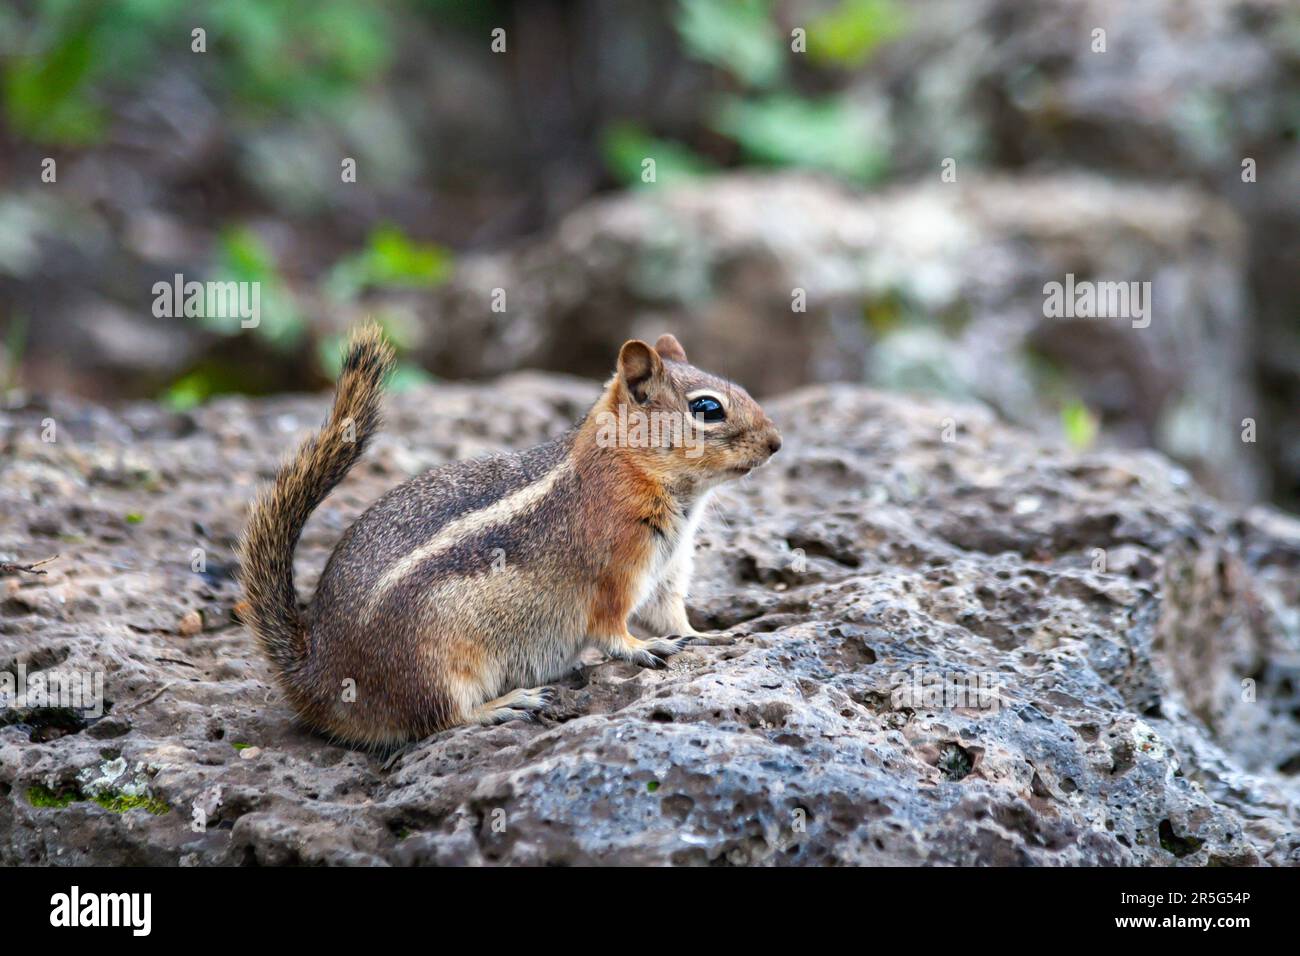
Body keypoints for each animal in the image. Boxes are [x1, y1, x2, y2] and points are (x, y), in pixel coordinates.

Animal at [238, 325, 781, 746]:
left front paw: (709, 635)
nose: (777, 443)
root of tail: (313, 675)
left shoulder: (667, 570)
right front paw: (641, 649)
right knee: (437, 719)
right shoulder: (617, 570)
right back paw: (502, 705)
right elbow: (611, 628)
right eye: (707, 408)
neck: (627, 466)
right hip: (434, 661)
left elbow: (671, 615)